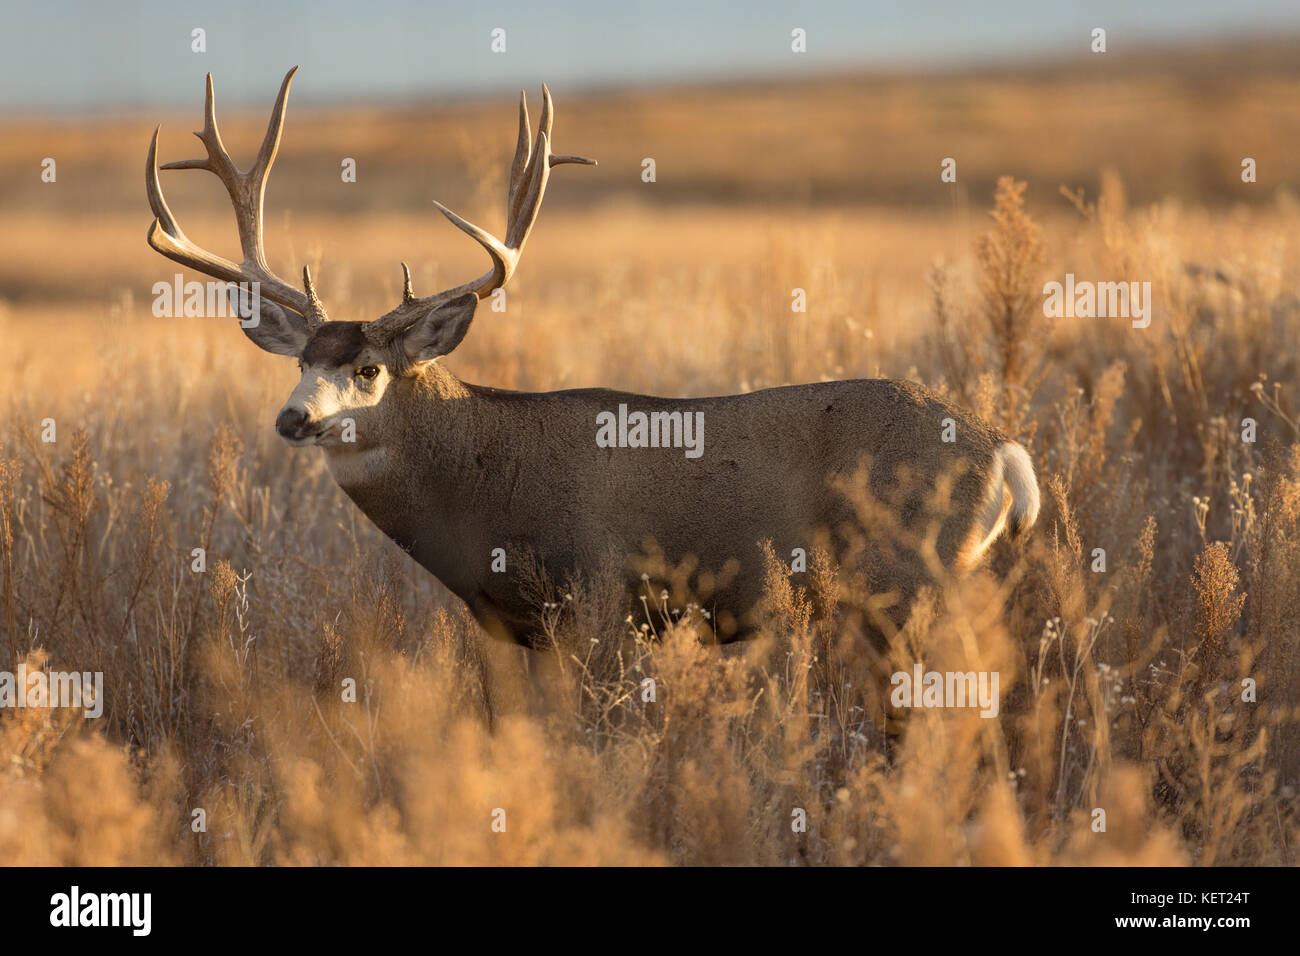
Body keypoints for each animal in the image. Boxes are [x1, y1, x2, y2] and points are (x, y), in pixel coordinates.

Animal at [145, 67, 1040, 654]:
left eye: (368, 368)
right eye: (298, 362)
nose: (293, 417)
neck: (483, 481)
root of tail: (1007, 452)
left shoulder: (600, 601)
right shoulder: (501, 626)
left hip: (911, 579)